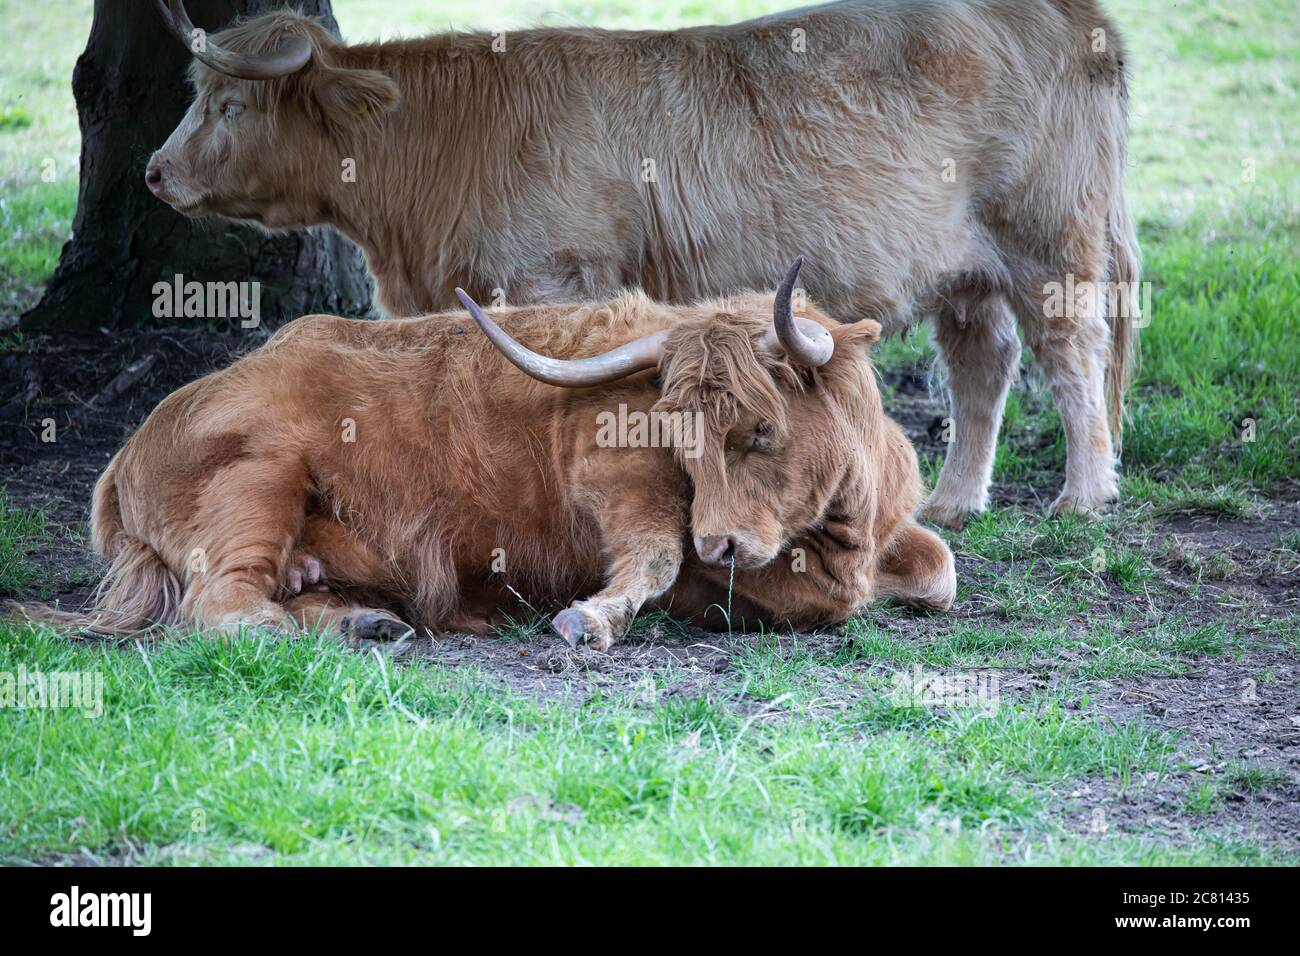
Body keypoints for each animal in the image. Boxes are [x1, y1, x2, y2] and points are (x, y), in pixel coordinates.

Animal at [15, 261, 955, 650]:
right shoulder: (619, 487)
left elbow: (941, 570)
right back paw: (326, 630)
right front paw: (588, 620)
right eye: (680, 440)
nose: (720, 542)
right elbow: (653, 558)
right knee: (224, 602)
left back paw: (368, 621)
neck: (844, 532)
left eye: (759, 429)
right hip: (258, 479)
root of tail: (125, 457)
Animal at [143, 0, 1141, 529]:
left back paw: (1084, 494)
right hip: (966, 268)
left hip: (1046, 235)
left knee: (1073, 353)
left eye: (231, 105)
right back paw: (953, 501)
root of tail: (1076, 18)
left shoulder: (551, 279)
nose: (155, 170)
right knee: (984, 362)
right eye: (202, 97)